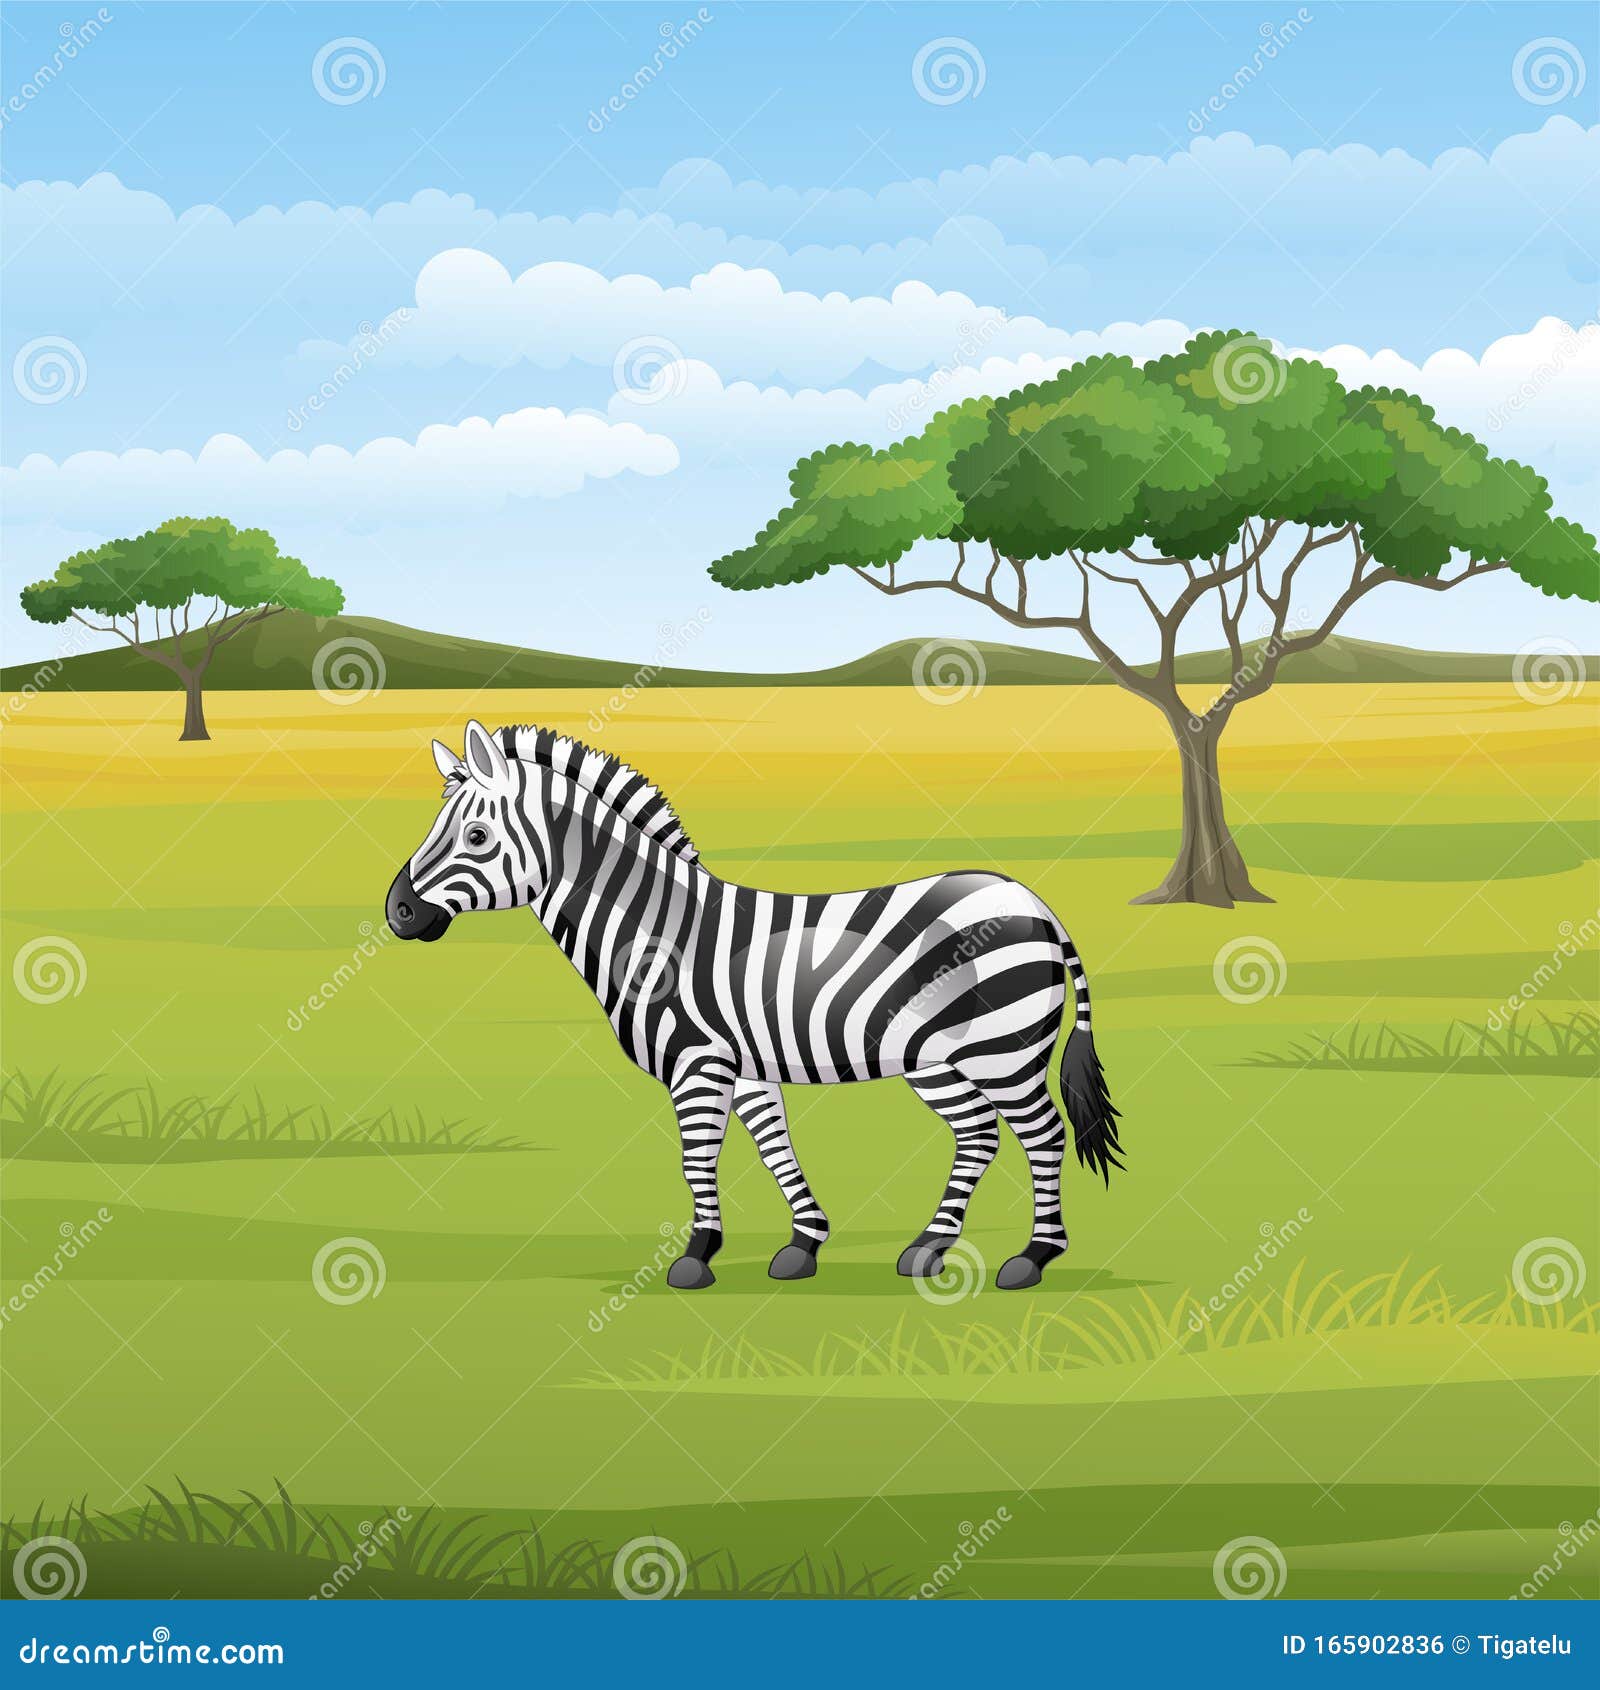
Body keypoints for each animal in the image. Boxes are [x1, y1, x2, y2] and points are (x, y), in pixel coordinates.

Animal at [386, 721, 1123, 1291]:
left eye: (476, 838)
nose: (398, 913)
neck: (655, 929)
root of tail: (1037, 904)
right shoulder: (744, 1067)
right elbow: (774, 1148)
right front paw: (802, 1244)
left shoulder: (699, 1062)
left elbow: (698, 1159)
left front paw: (694, 1258)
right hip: (939, 1061)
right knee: (977, 1135)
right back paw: (928, 1249)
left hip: (1002, 1049)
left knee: (1042, 1135)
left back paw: (1033, 1258)